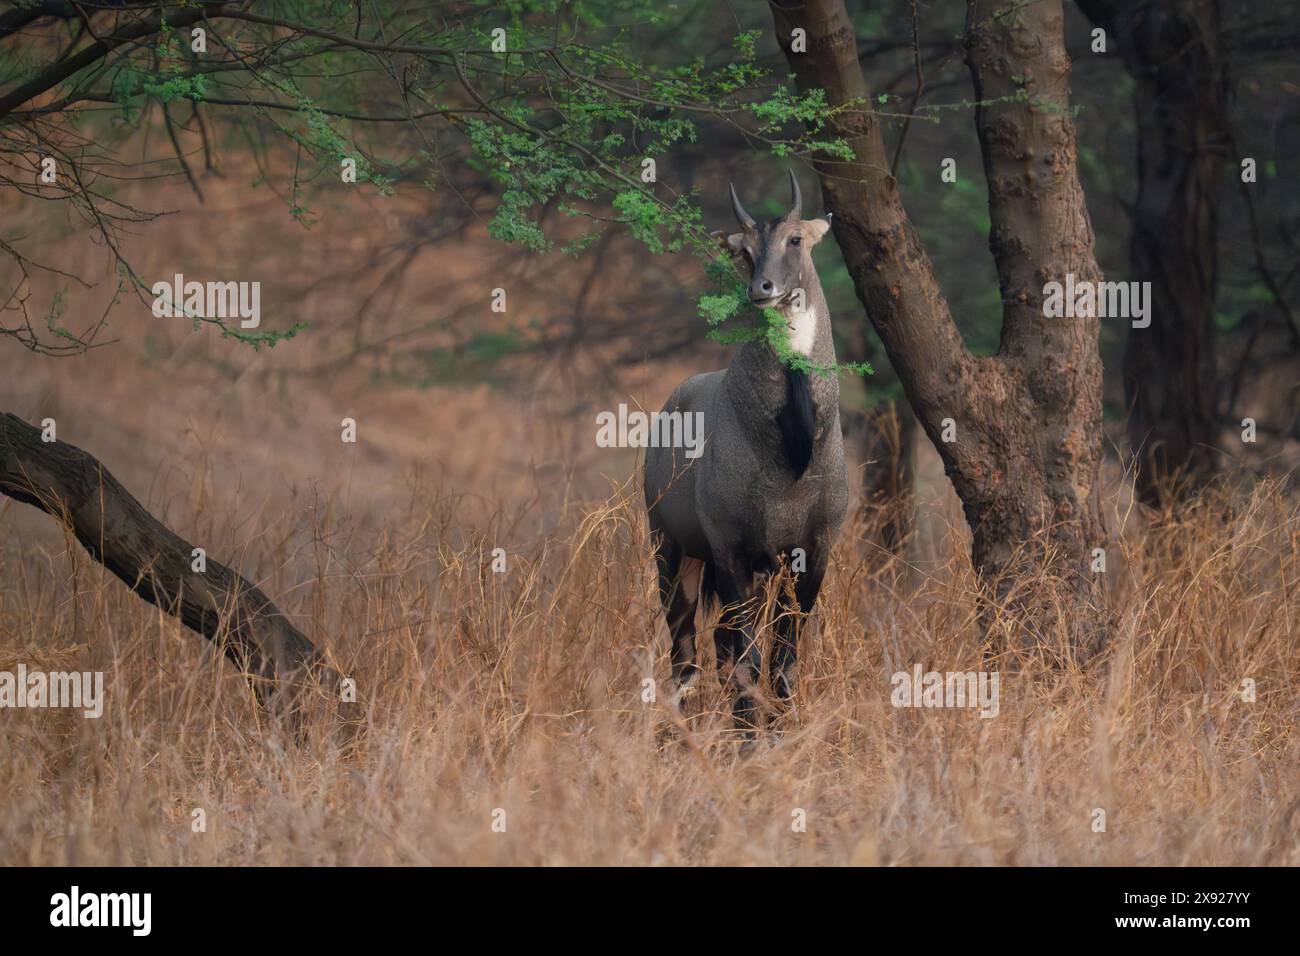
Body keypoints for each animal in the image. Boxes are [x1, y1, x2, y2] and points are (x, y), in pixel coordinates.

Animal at [643, 171, 848, 734]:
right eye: (745, 250)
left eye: (795, 239)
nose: (762, 289)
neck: (794, 449)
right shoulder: (731, 549)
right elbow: (748, 662)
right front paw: (751, 738)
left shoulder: (811, 553)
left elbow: (783, 659)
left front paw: (777, 732)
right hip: (673, 552)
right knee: (687, 652)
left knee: (718, 647)